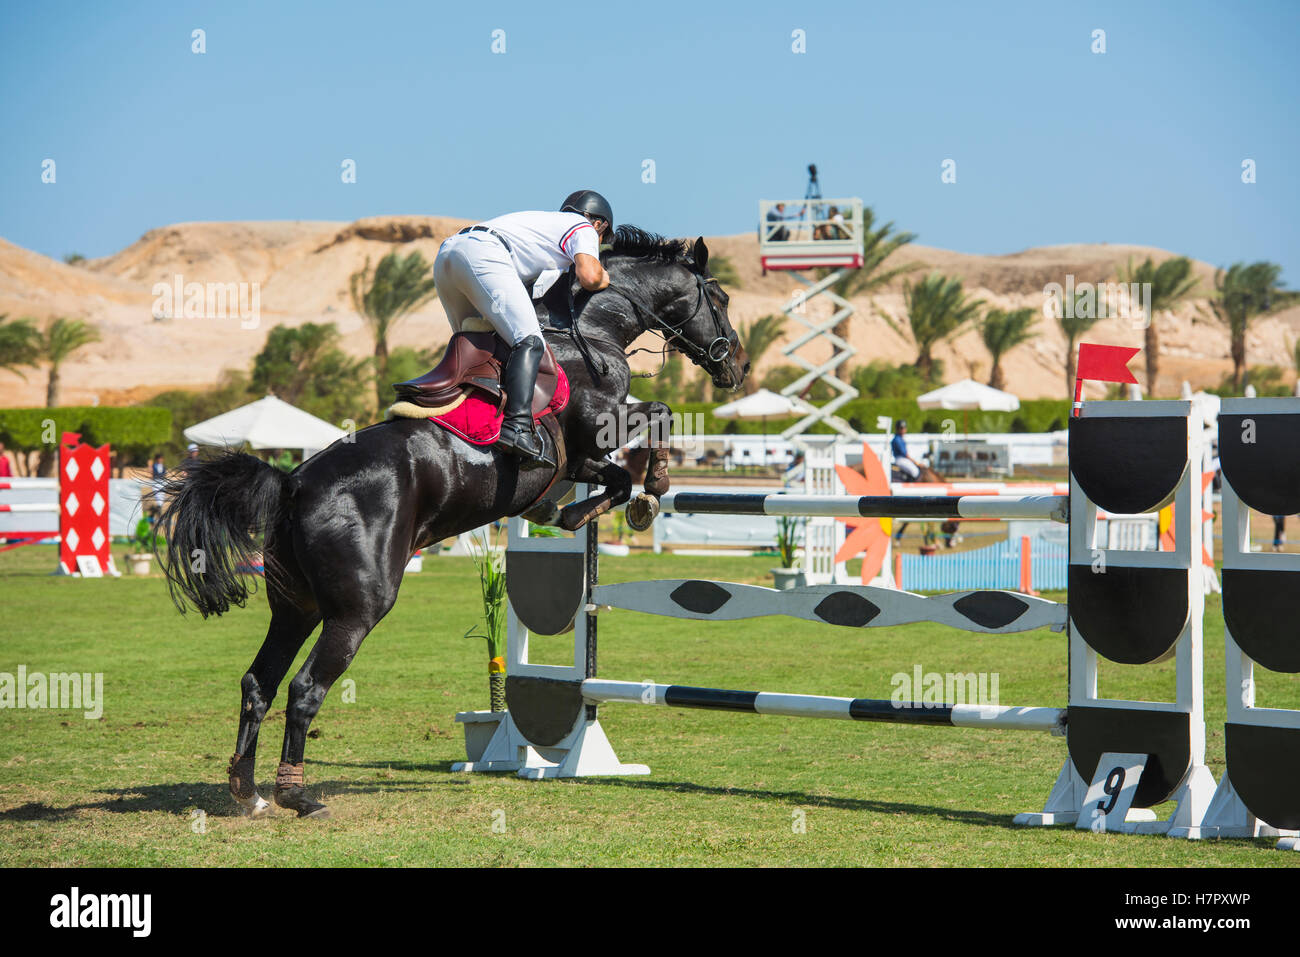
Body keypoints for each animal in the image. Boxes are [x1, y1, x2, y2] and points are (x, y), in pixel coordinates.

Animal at [157, 226, 750, 819]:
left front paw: (565, 510)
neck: (593, 329)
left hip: (295, 606)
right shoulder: (598, 428)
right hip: (356, 609)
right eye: (720, 299)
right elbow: (659, 417)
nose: (737, 366)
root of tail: (293, 483)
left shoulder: (578, 459)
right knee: (304, 689)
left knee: (259, 682)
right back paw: (297, 794)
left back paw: (247, 791)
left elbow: (616, 479)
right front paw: (652, 488)